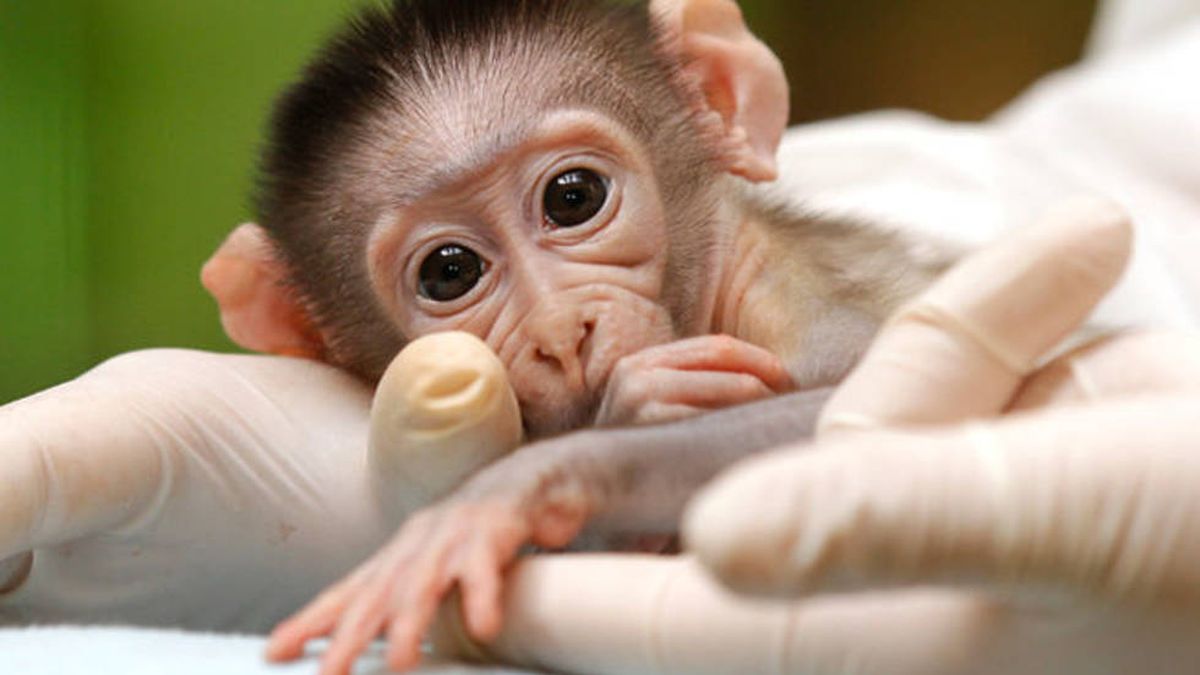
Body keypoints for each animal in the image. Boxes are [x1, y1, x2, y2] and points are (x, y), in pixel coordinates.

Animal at [198, 0, 953, 672]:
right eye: (449, 271)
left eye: (572, 197)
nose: (561, 334)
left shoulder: (800, 300)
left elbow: (867, 425)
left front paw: (509, 491)